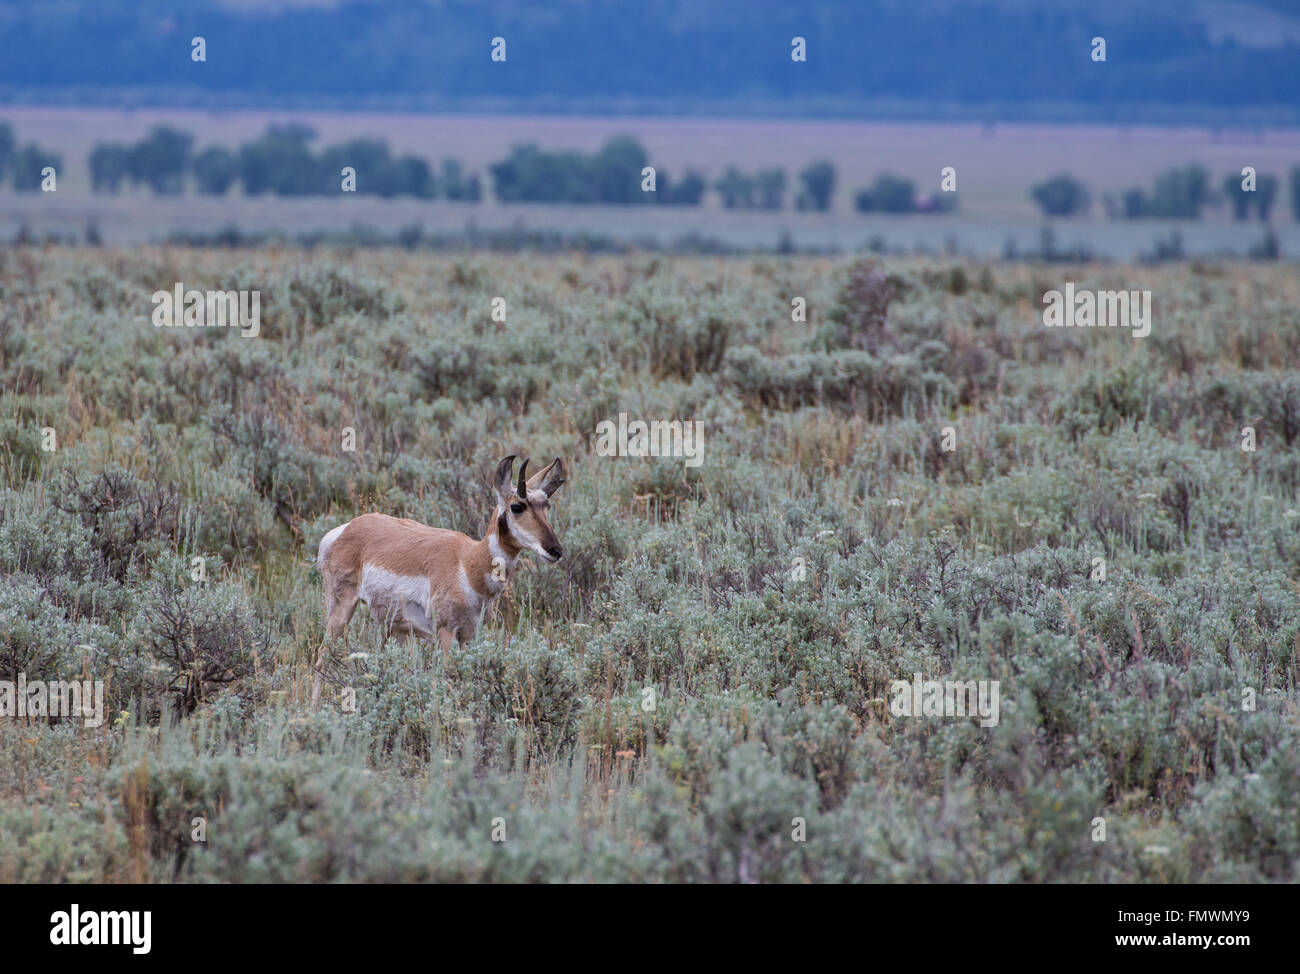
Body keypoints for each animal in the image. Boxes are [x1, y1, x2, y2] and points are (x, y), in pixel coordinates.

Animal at [310, 455, 566, 705]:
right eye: (517, 506)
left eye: (547, 505)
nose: (556, 550)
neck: (468, 563)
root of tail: (345, 529)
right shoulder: (446, 631)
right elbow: (450, 676)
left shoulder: (470, 634)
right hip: (341, 607)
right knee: (323, 656)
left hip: (397, 628)